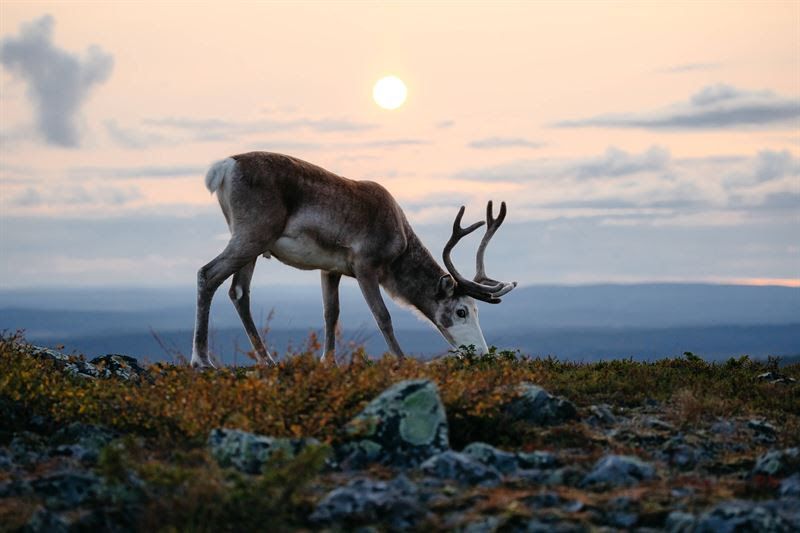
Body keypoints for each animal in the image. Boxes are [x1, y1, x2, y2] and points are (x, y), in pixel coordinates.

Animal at [191, 151, 517, 369]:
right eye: (461, 311)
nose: (482, 353)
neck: (398, 253)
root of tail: (224, 167)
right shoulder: (365, 265)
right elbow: (383, 316)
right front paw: (402, 360)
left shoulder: (330, 269)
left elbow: (331, 314)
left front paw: (328, 361)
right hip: (252, 234)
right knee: (208, 274)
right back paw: (202, 360)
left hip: (252, 241)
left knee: (238, 292)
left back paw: (267, 359)